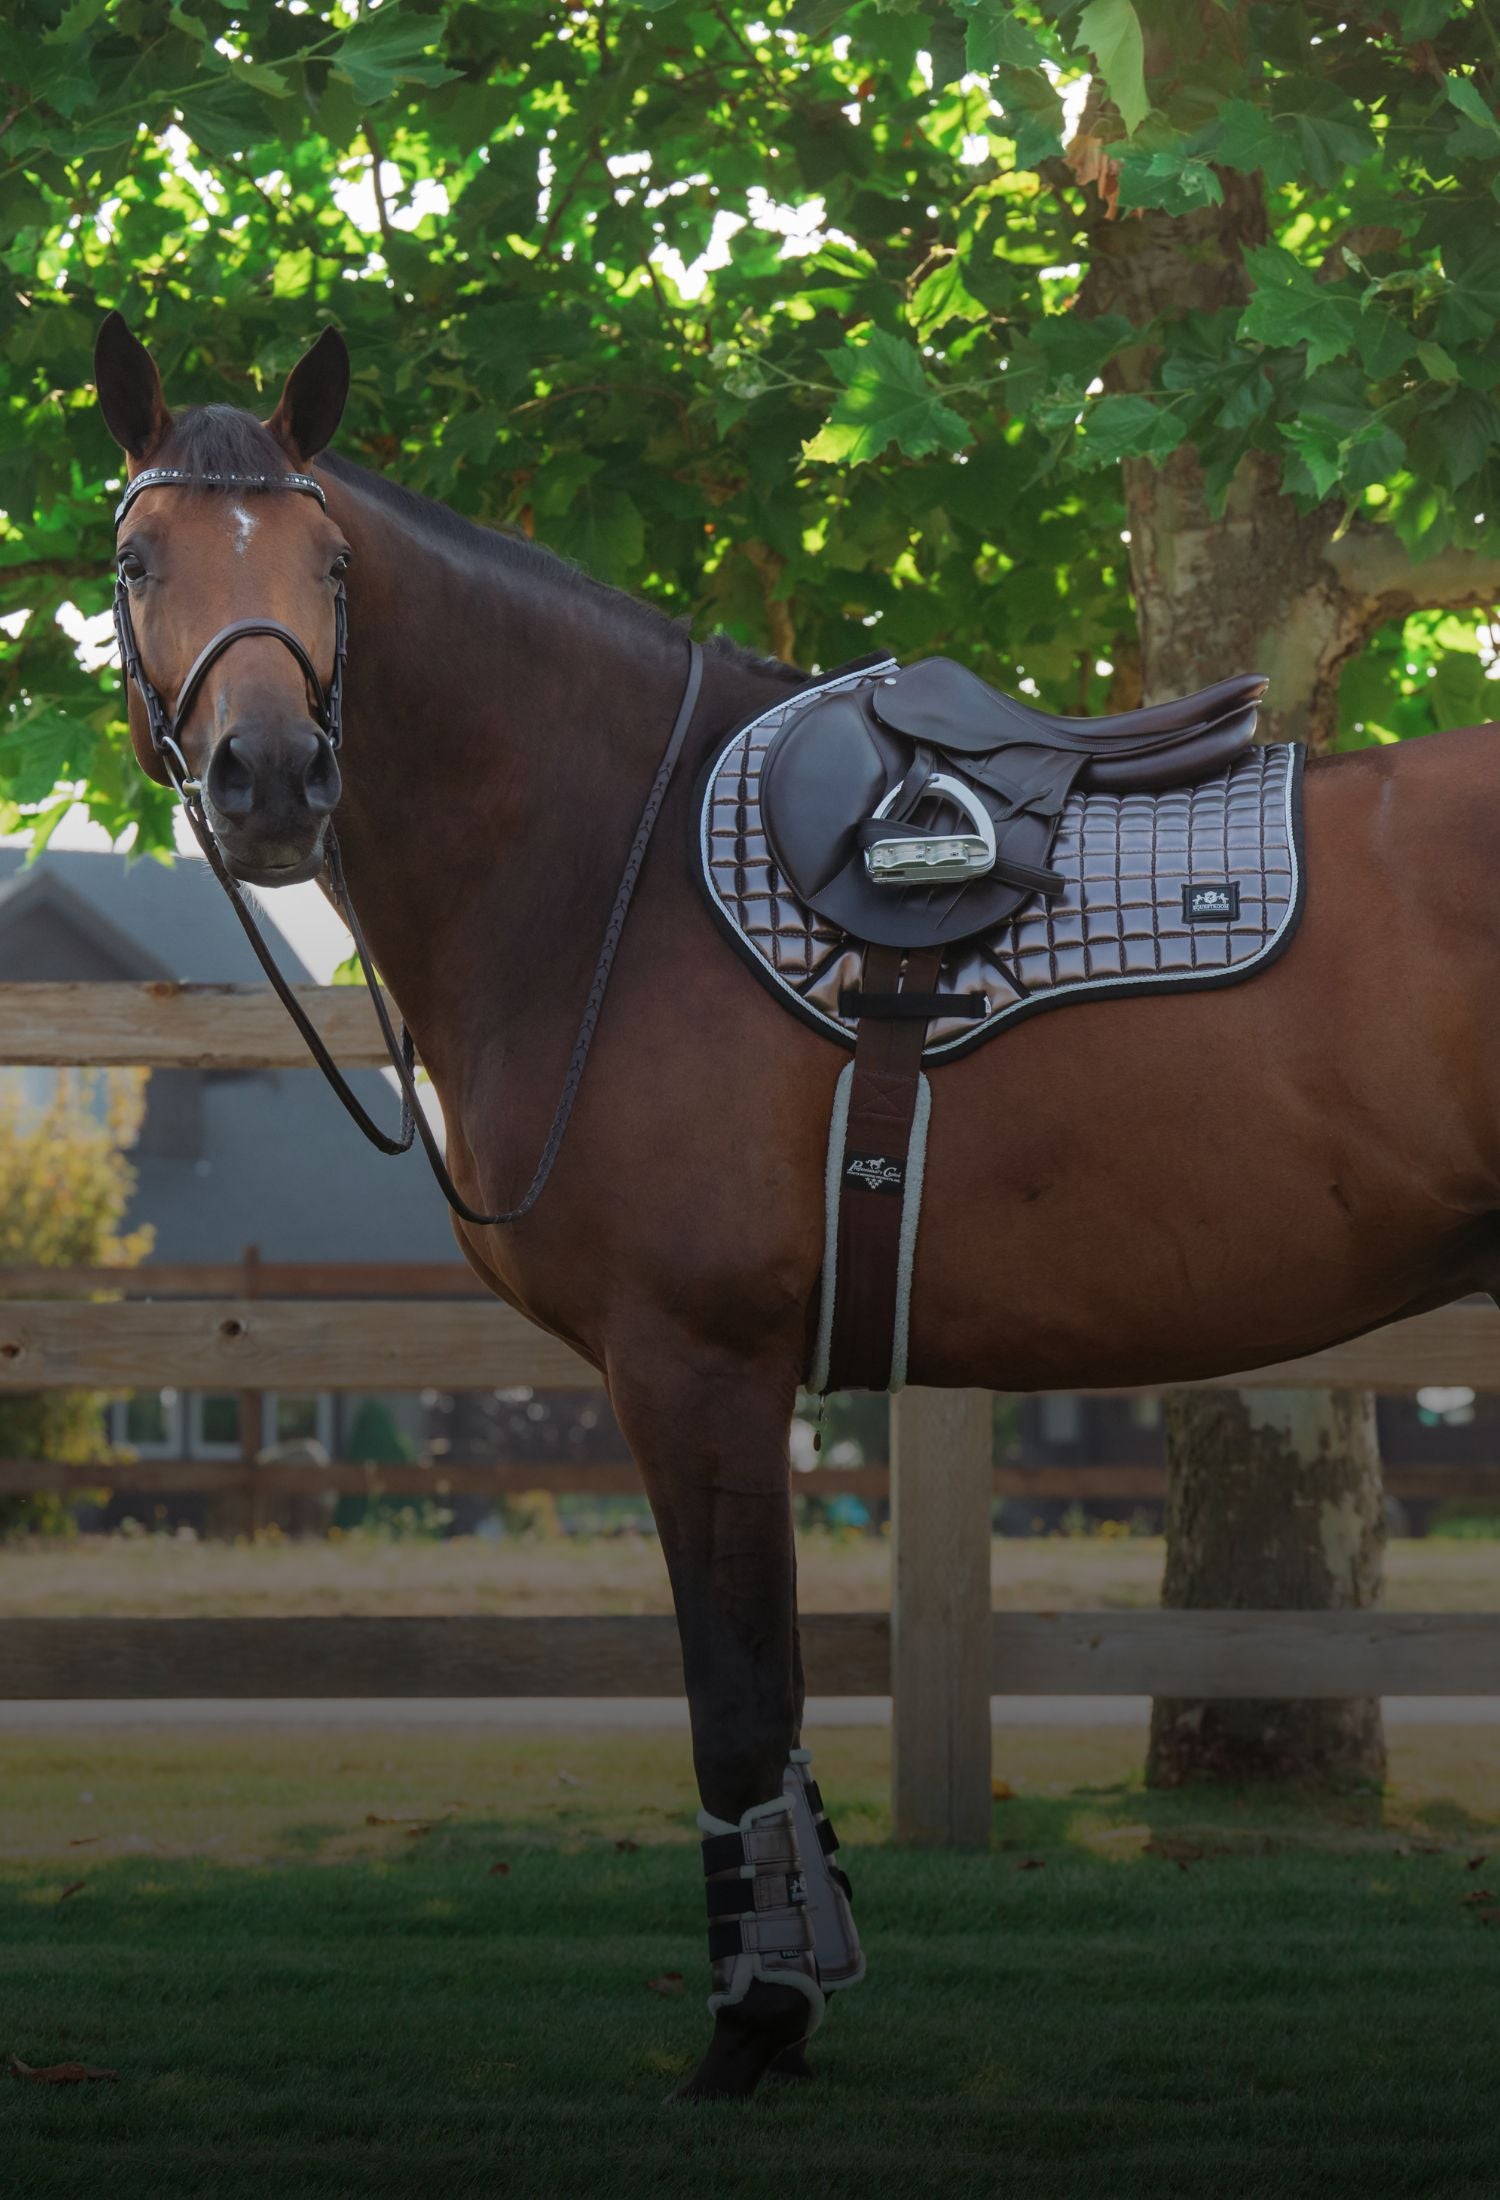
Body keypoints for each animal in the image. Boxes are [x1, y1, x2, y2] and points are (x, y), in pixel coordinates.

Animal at [92, 313, 1500, 2101]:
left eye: (331, 563)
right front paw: (796, 1986)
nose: (271, 775)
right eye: (137, 557)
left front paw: (755, 2019)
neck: (609, 871)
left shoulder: (696, 1369)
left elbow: (738, 1701)